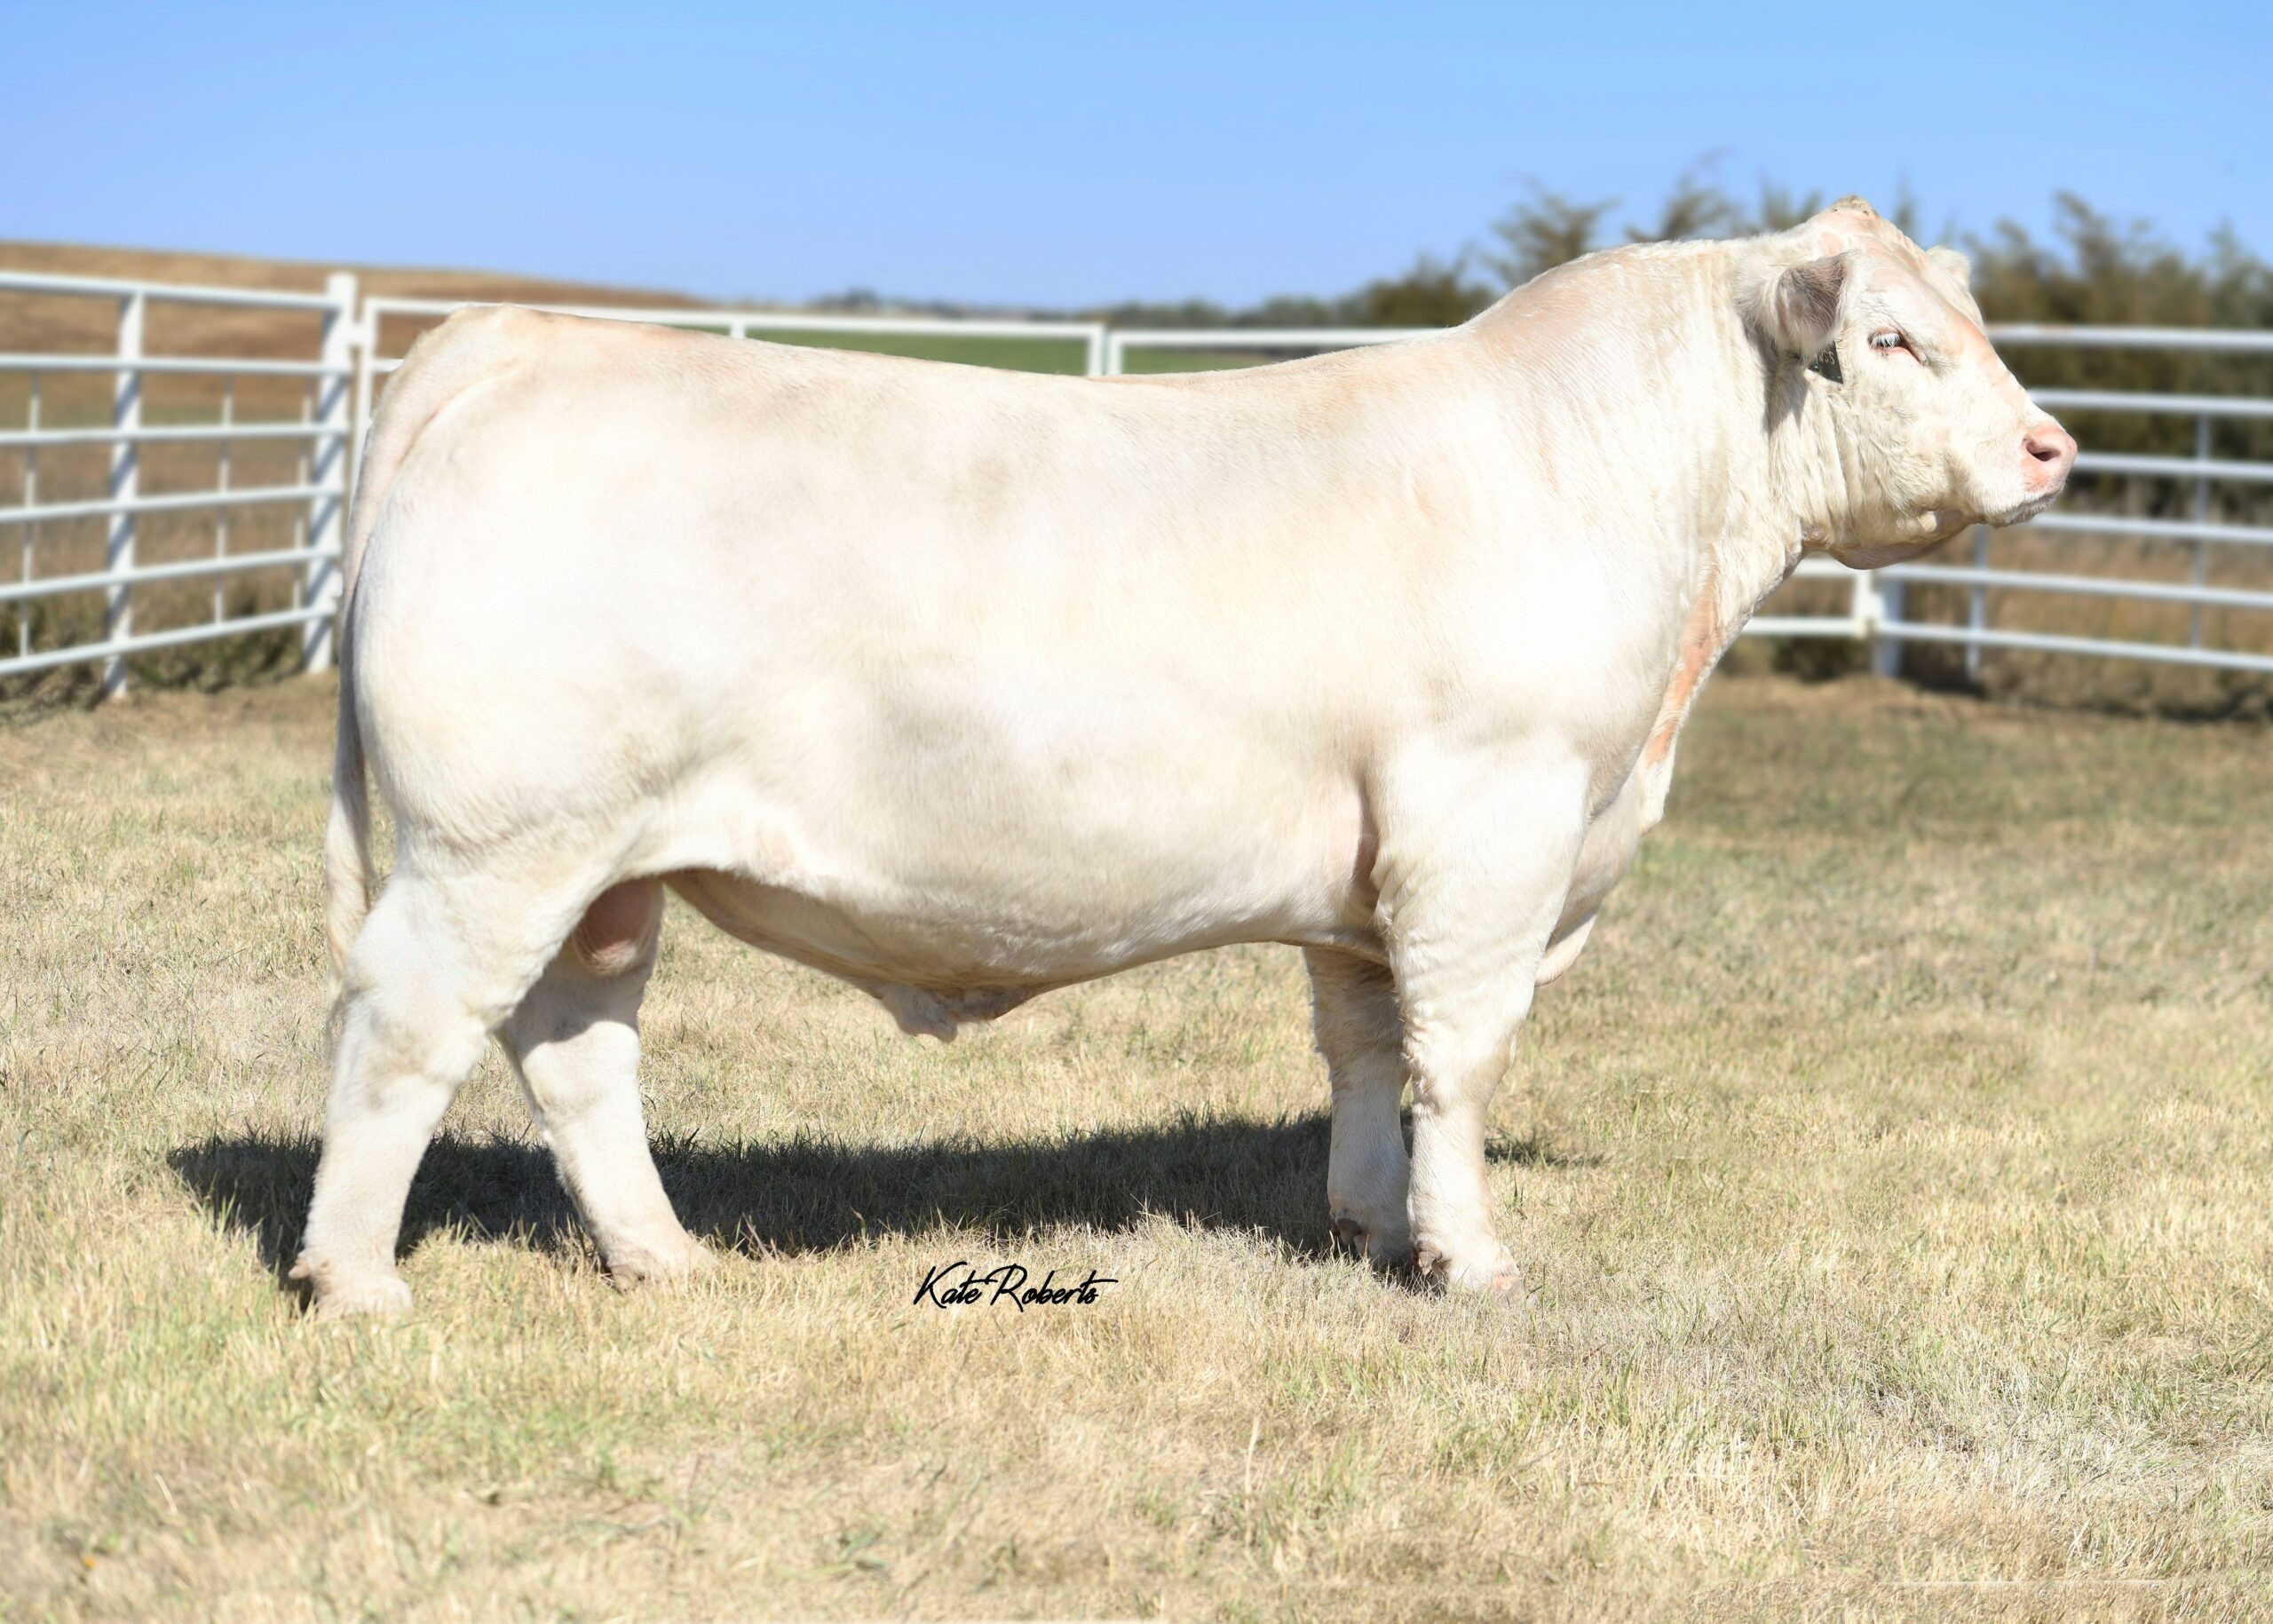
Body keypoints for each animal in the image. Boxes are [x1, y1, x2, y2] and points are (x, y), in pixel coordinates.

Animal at [293, 198, 2073, 1317]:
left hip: (604, 866)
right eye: (1897, 342)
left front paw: (1373, 1225)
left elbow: (1365, 1051)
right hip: (498, 844)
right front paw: (1474, 1261)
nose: (2053, 446)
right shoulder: (1490, 829)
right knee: (409, 1025)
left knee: (577, 1047)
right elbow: (1463, 1055)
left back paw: (664, 1258)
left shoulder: (1375, 873)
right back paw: (357, 1280)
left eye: (1969, 321)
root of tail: (517, 343)